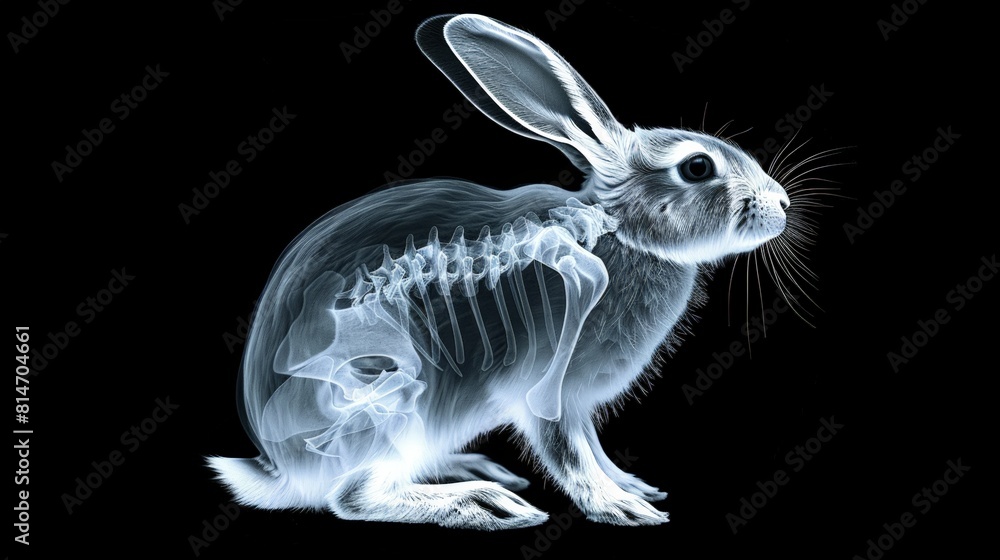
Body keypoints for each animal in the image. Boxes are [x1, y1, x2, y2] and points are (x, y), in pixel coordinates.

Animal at [207, 13, 802, 530]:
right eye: (697, 167)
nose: (782, 206)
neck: (617, 231)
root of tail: (282, 470)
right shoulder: (547, 390)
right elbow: (569, 454)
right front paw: (622, 509)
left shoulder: (580, 405)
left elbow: (594, 447)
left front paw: (633, 486)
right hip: (387, 396)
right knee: (354, 496)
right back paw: (482, 501)